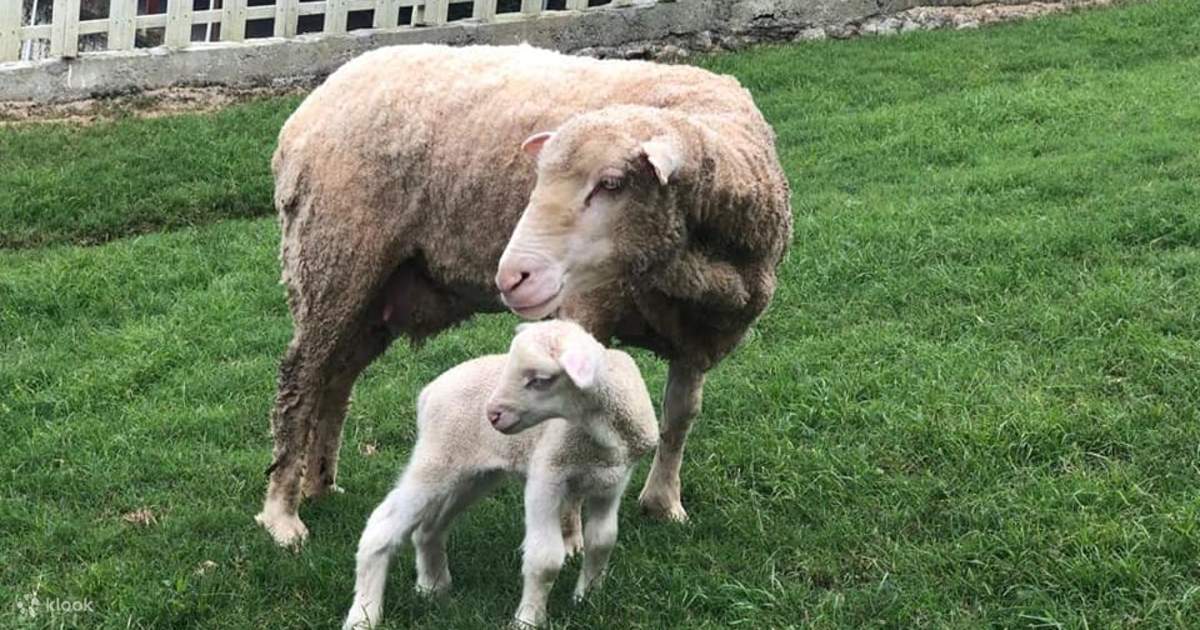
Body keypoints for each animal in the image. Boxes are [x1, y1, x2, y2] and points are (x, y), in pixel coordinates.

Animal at [258, 43, 792, 547]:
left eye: (612, 183)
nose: (511, 275)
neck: (694, 262)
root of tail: (309, 108)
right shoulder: (586, 309)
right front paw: (571, 536)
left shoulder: (699, 331)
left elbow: (679, 417)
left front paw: (663, 503)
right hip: (333, 257)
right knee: (299, 379)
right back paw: (283, 514)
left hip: (377, 291)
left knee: (336, 378)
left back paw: (321, 484)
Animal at [343, 320, 658, 629]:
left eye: (540, 380)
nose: (492, 415)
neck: (601, 437)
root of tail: (428, 393)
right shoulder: (547, 476)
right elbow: (545, 559)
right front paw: (528, 620)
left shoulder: (612, 481)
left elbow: (602, 540)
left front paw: (587, 598)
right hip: (437, 459)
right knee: (382, 524)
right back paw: (363, 615)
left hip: (472, 474)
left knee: (430, 526)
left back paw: (432, 587)